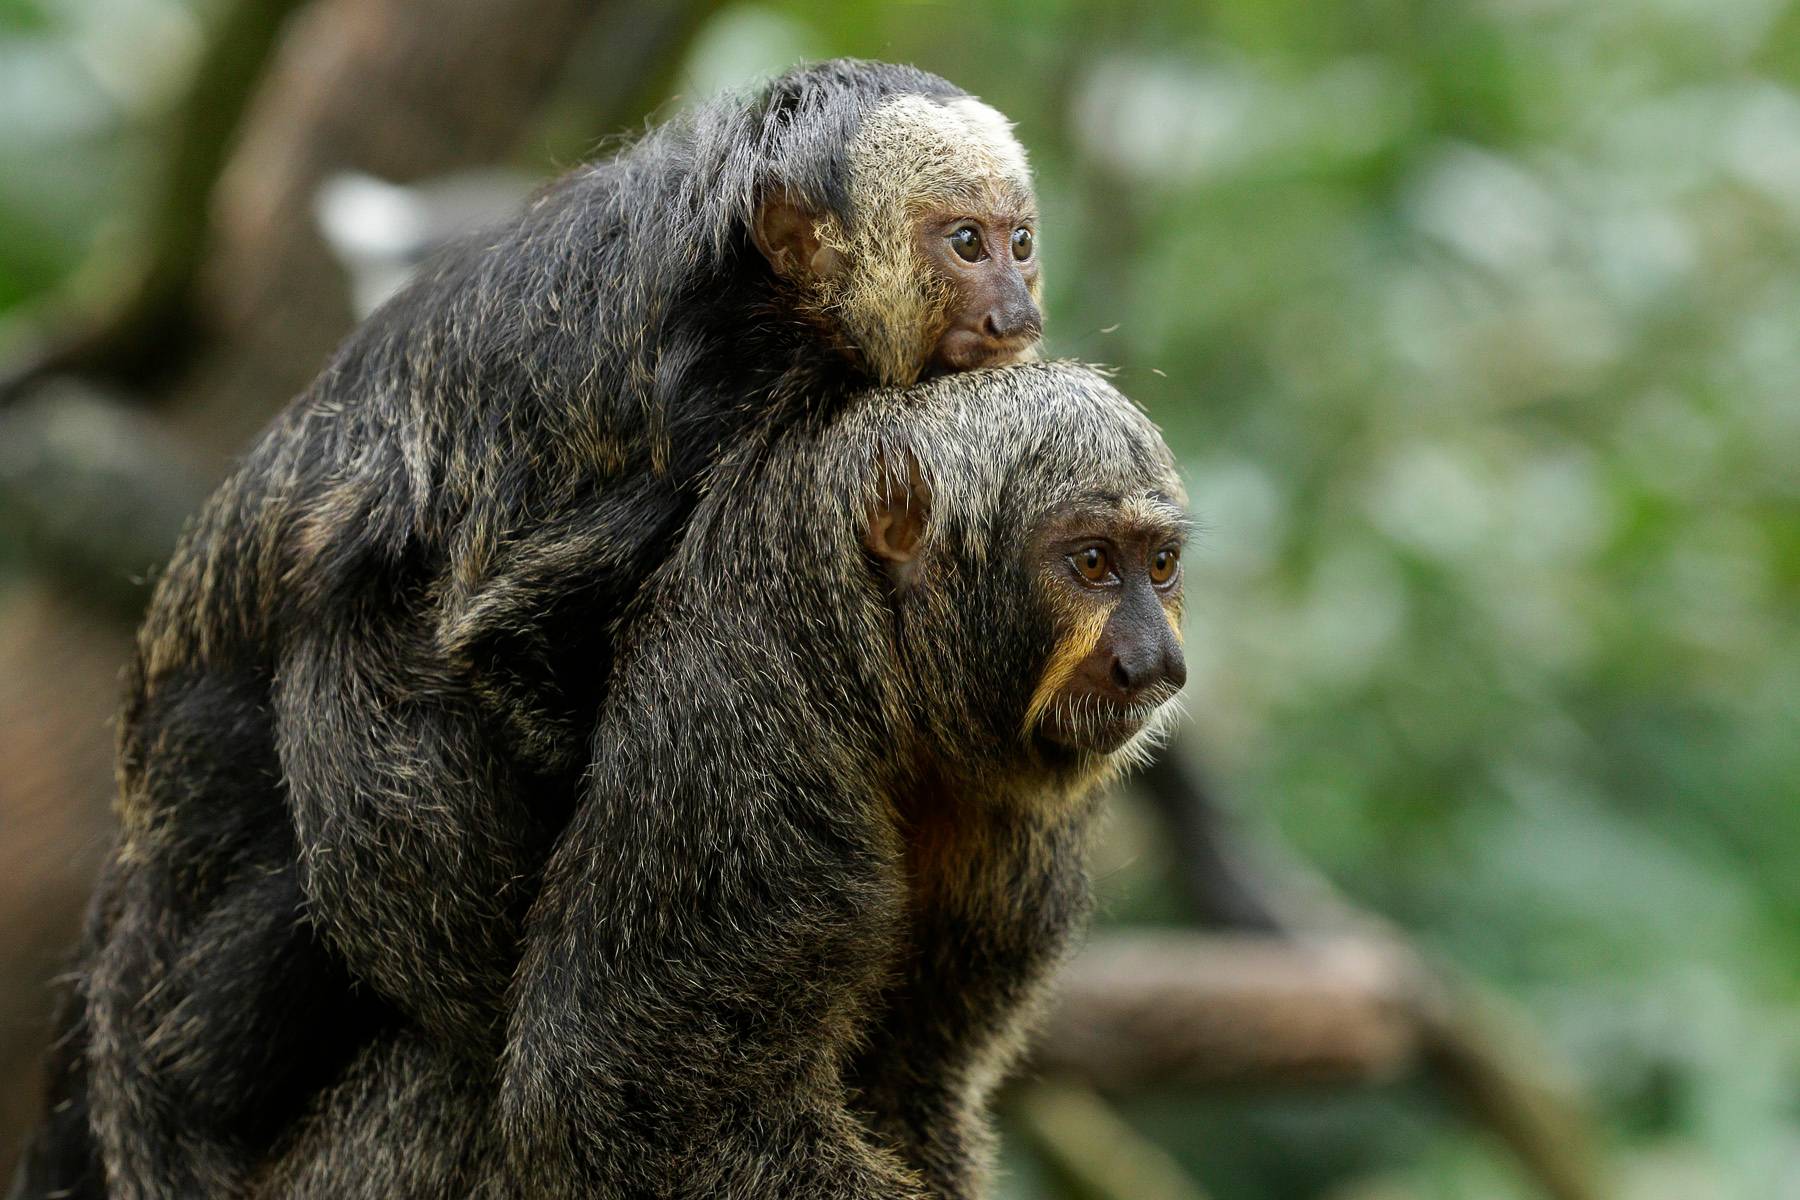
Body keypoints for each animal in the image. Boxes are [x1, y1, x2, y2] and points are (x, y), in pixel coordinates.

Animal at [10, 59, 1047, 1200]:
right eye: (965, 243)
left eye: (1020, 242)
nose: (1016, 311)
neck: (767, 301)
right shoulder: (701, 406)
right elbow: (501, 642)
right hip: (204, 880)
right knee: (361, 620)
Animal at [240, 360, 1190, 1199]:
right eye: (1093, 563)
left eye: (1160, 566)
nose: (1154, 661)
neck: (887, 683)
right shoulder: (730, 724)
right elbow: (625, 1104)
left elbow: (912, 1083)